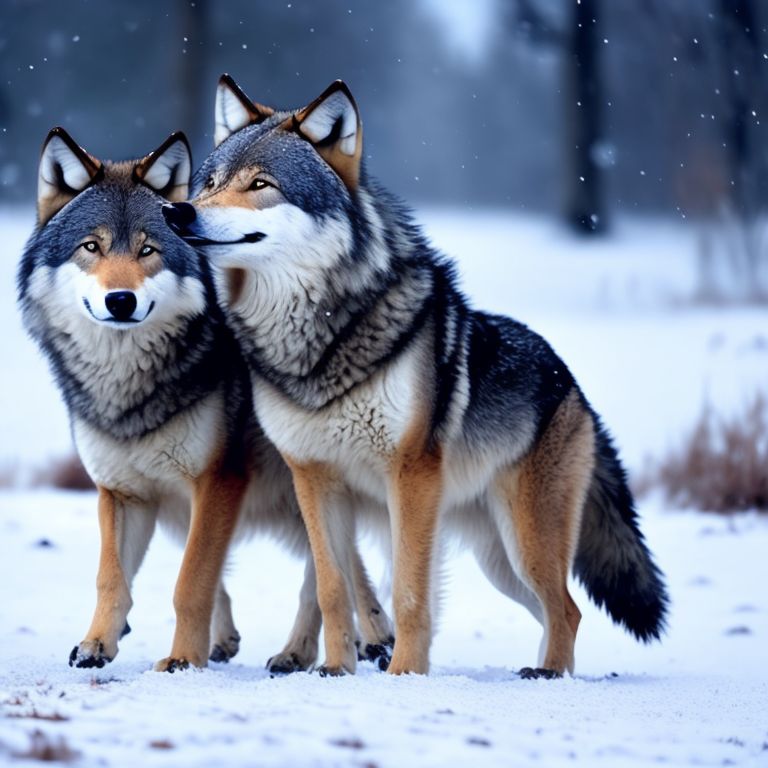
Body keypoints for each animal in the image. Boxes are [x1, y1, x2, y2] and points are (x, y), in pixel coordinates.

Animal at [18, 127, 393, 673]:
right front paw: (96, 644)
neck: (128, 389)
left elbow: (191, 581)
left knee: (334, 567)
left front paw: (181, 660)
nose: (120, 301)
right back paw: (287, 649)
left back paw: (368, 640)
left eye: (149, 250)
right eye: (91, 246)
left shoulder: (219, 480)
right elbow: (112, 578)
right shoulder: (121, 491)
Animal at [163, 75, 669, 677]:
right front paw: (336, 669)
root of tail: (571, 381)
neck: (312, 339)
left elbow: (407, 590)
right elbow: (333, 588)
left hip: (524, 542)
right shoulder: (314, 477)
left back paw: (549, 675)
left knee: (567, 608)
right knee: (558, 611)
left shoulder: (411, 476)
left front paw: (405, 672)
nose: (176, 212)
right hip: (499, 561)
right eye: (210, 183)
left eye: (260, 184)